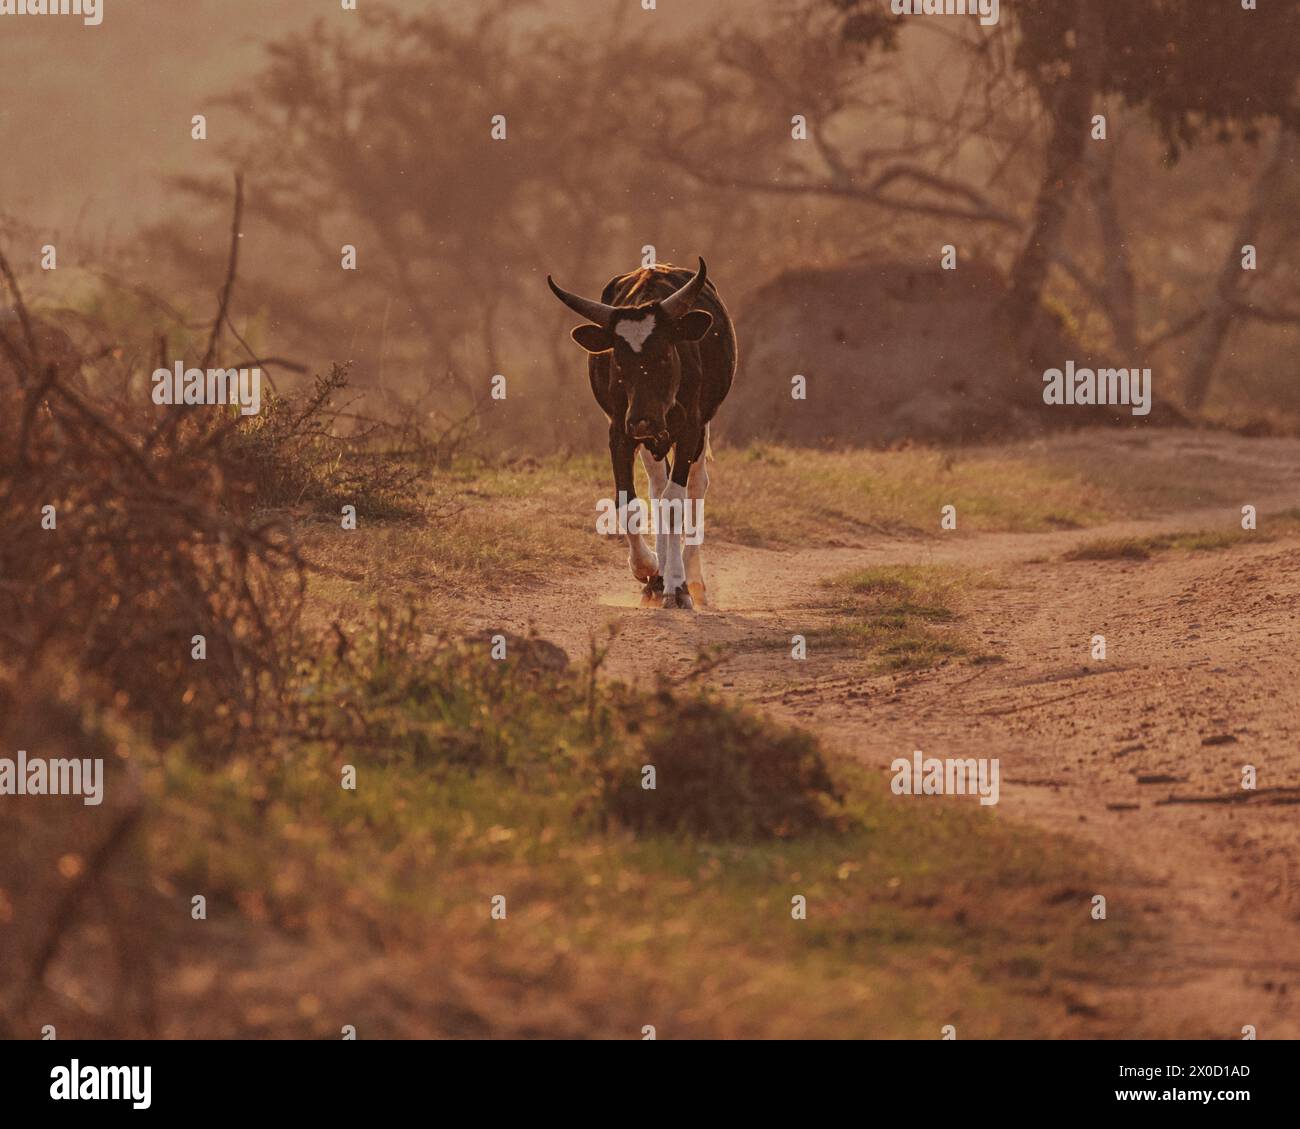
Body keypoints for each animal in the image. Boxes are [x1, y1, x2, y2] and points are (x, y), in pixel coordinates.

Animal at [547, 258, 736, 610]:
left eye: (663, 355)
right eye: (619, 362)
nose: (642, 420)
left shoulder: (689, 429)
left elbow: (676, 502)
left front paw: (677, 585)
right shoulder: (619, 433)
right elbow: (628, 503)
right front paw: (649, 569)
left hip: (698, 430)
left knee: (694, 487)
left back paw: (692, 580)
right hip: (651, 442)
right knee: (657, 489)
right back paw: (658, 580)